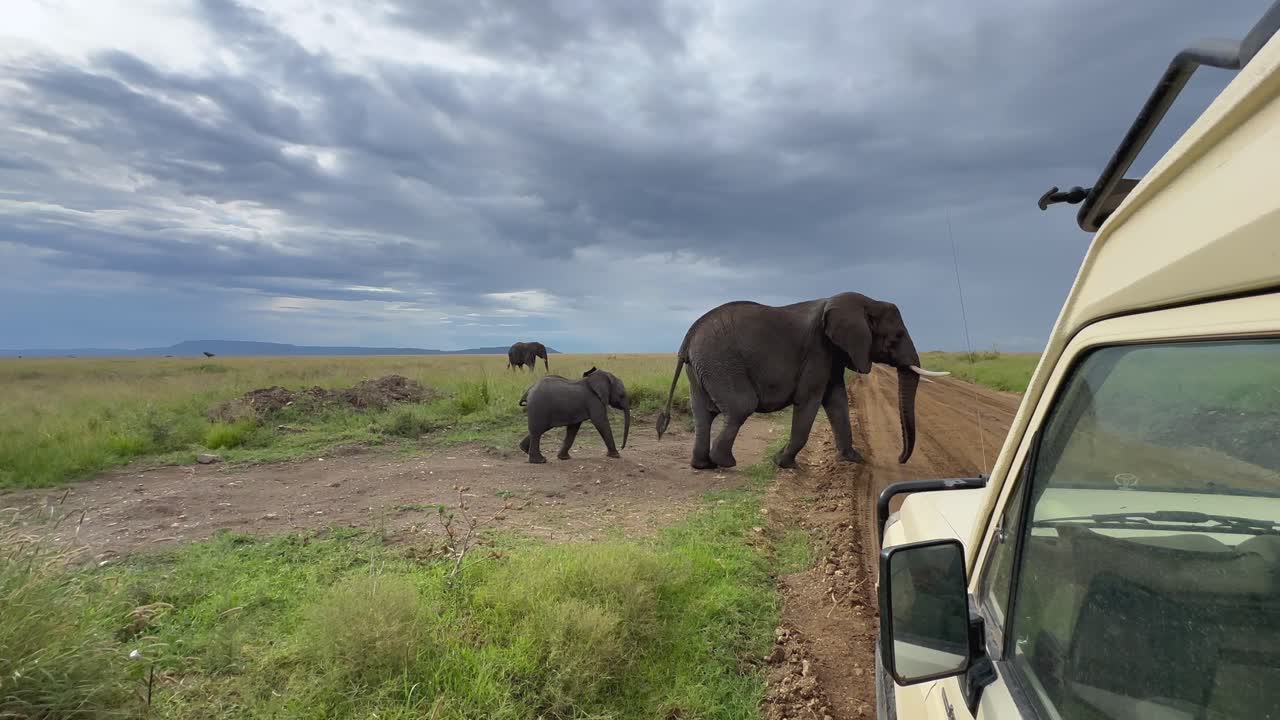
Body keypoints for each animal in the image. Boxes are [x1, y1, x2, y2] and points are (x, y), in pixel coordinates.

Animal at [655, 292, 948, 470]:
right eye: (896, 336)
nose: (900, 459)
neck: (866, 301)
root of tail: (688, 337)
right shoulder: (817, 351)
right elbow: (810, 400)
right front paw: (783, 463)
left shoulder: (833, 353)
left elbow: (837, 400)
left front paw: (854, 459)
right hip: (721, 363)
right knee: (740, 407)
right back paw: (725, 462)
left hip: (701, 368)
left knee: (703, 414)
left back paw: (703, 465)